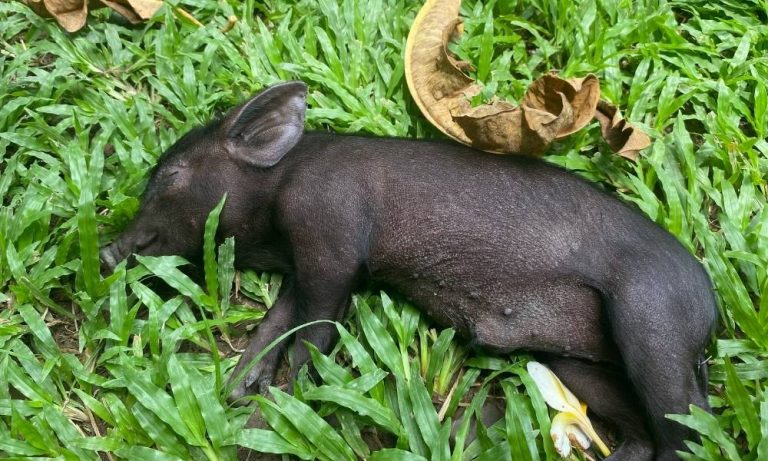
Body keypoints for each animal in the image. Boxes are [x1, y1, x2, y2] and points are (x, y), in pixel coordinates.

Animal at [100, 81, 716, 461]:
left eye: (171, 174)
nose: (107, 252)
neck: (278, 191)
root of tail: (712, 315)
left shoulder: (332, 234)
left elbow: (315, 331)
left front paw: (264, 419)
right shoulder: (306, 262)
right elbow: (279, 317)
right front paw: (237, 387)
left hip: (652, 318)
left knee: (685, 432)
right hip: (577, 360)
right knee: (639, 430)